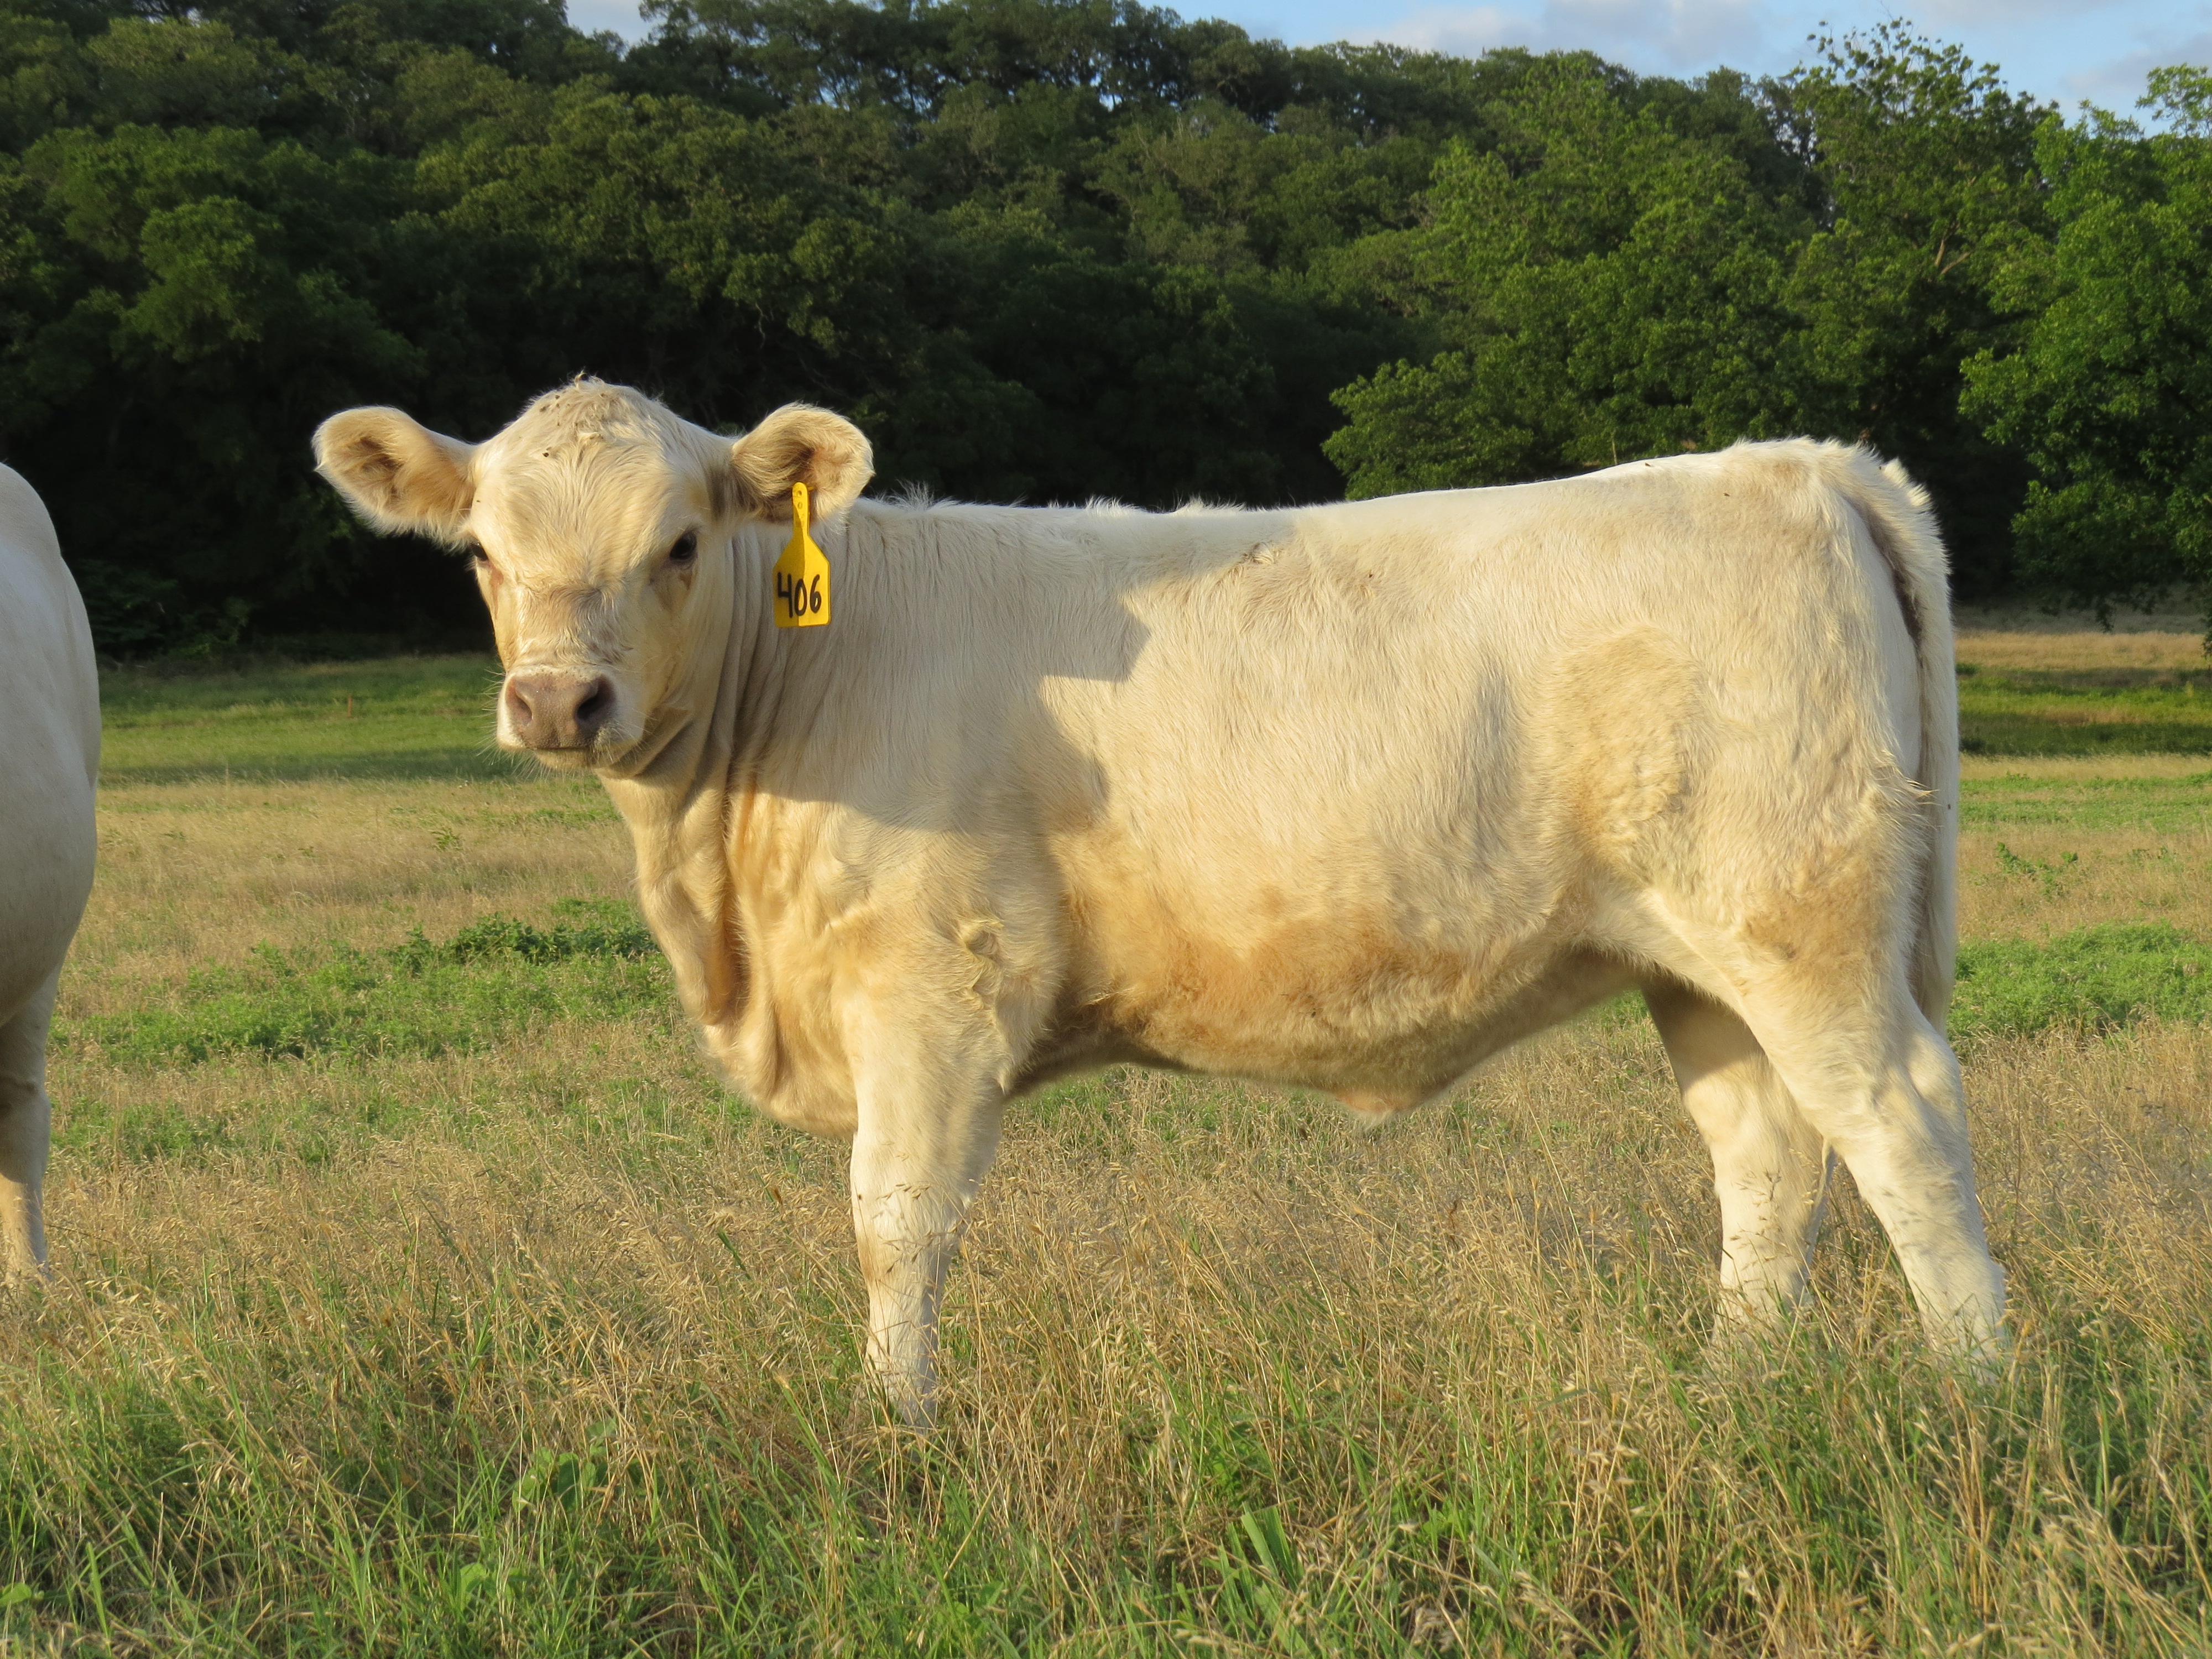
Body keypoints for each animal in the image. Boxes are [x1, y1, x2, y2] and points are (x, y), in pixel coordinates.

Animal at [315, 380, 2007, 1424]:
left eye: (677, 542)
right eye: (482, 552)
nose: (557, 701)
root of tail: (1794, 462)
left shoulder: (934, 985)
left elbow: (894, 1223)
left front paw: (893, 1434)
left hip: (1805, 922)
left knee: (1904, 1126)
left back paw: (1980, 1404)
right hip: (1696, 959)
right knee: (1768, 1156)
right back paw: (1731, 1400)